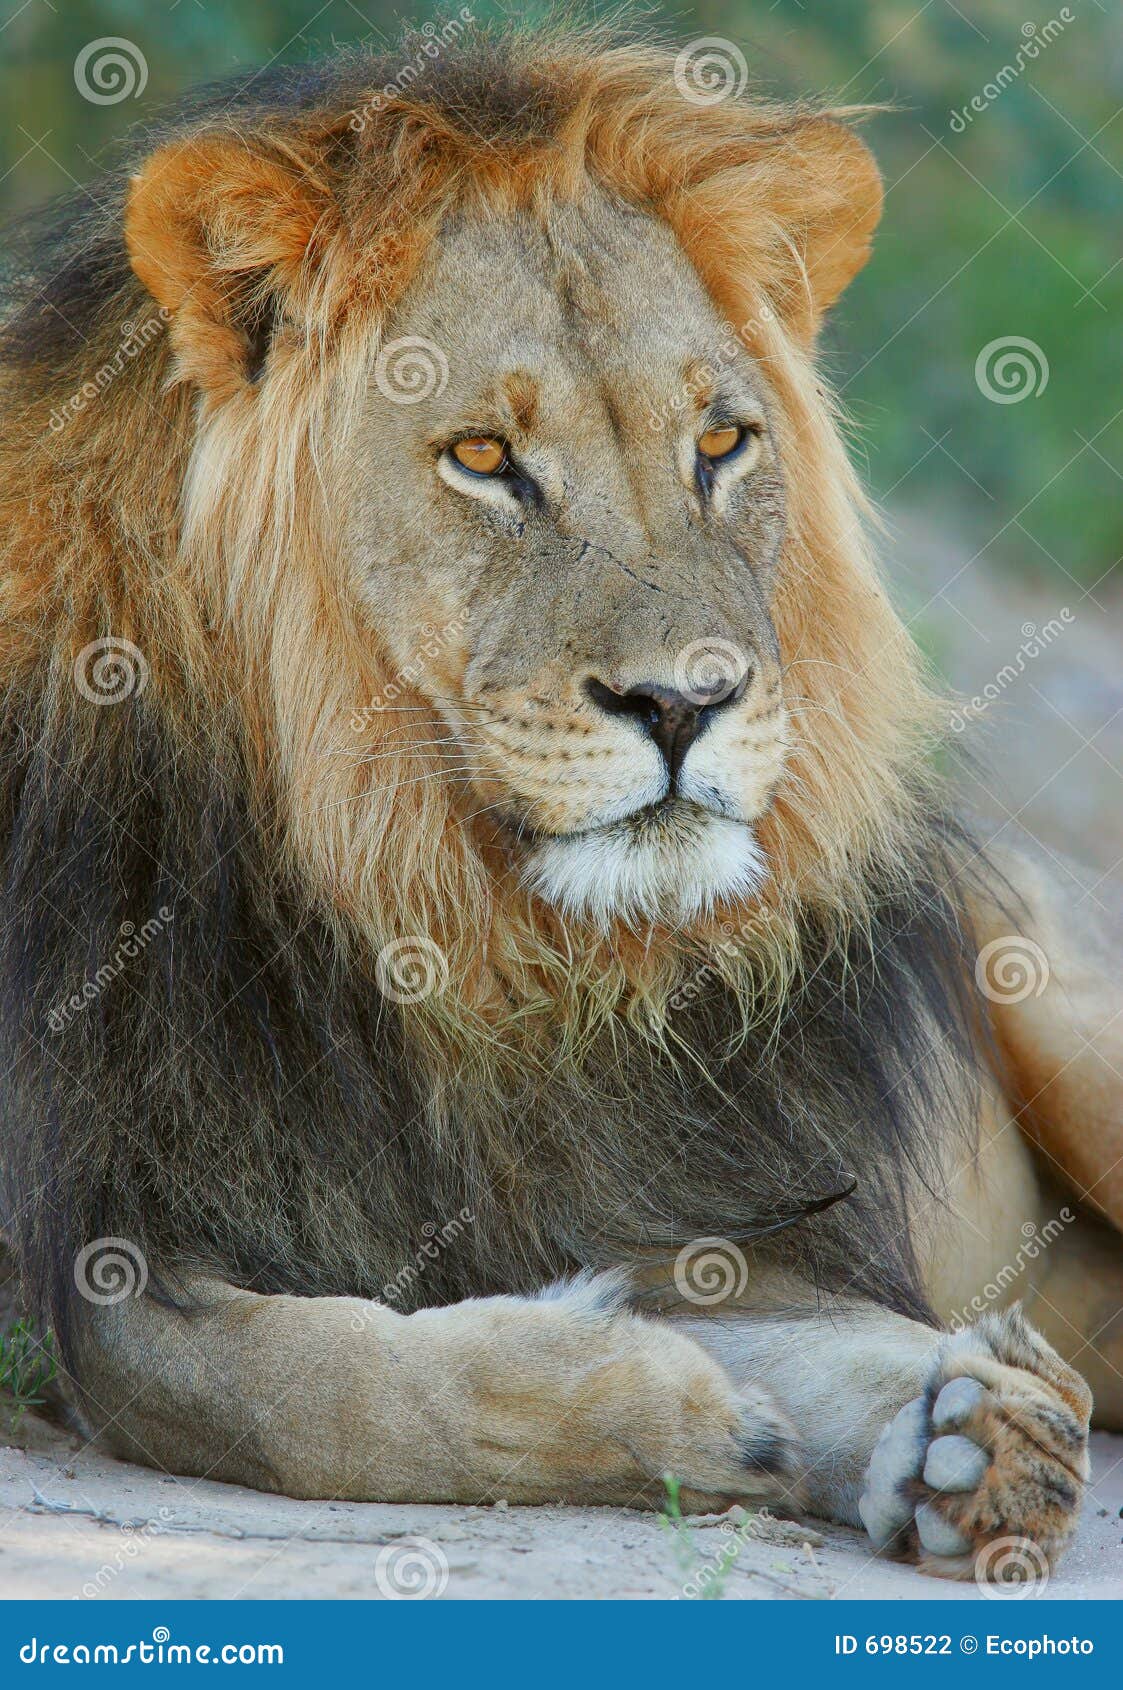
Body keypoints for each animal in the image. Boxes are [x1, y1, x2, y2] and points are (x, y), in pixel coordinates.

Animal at [0, 23, 1119, 1584]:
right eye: (483, 457)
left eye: (720, 444)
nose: (684, 701)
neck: (448, 926)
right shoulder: (104, 1223)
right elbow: (301, 1391)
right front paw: (782, 1418)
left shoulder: (671, 1190)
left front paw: (962, 1422)